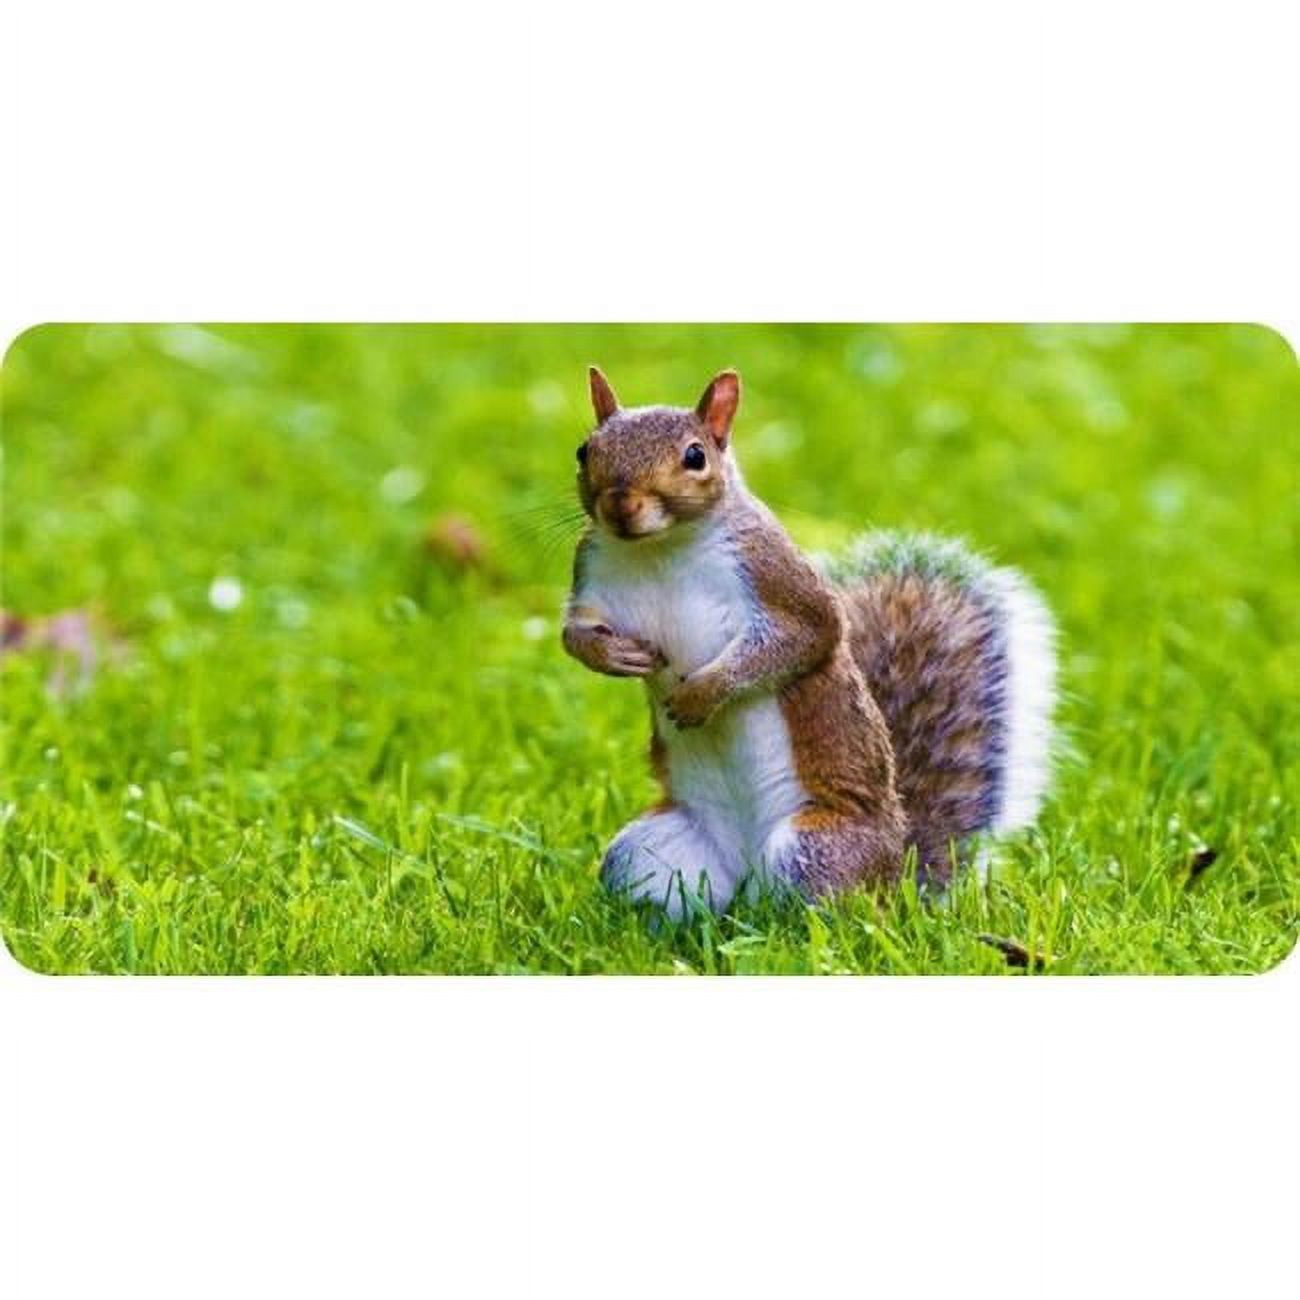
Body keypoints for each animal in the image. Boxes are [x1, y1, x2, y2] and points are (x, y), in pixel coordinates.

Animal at [562, 366, 1057, 918]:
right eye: (585, 450)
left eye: (695, 456)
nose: (620, 505)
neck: (659, 549)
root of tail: (896, 876)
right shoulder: (591, 576)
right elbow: (574, 635)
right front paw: (614, 656)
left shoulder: (776, 577)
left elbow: (805, 639)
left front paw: (701, 694)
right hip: (649, 853)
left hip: (812, 848)